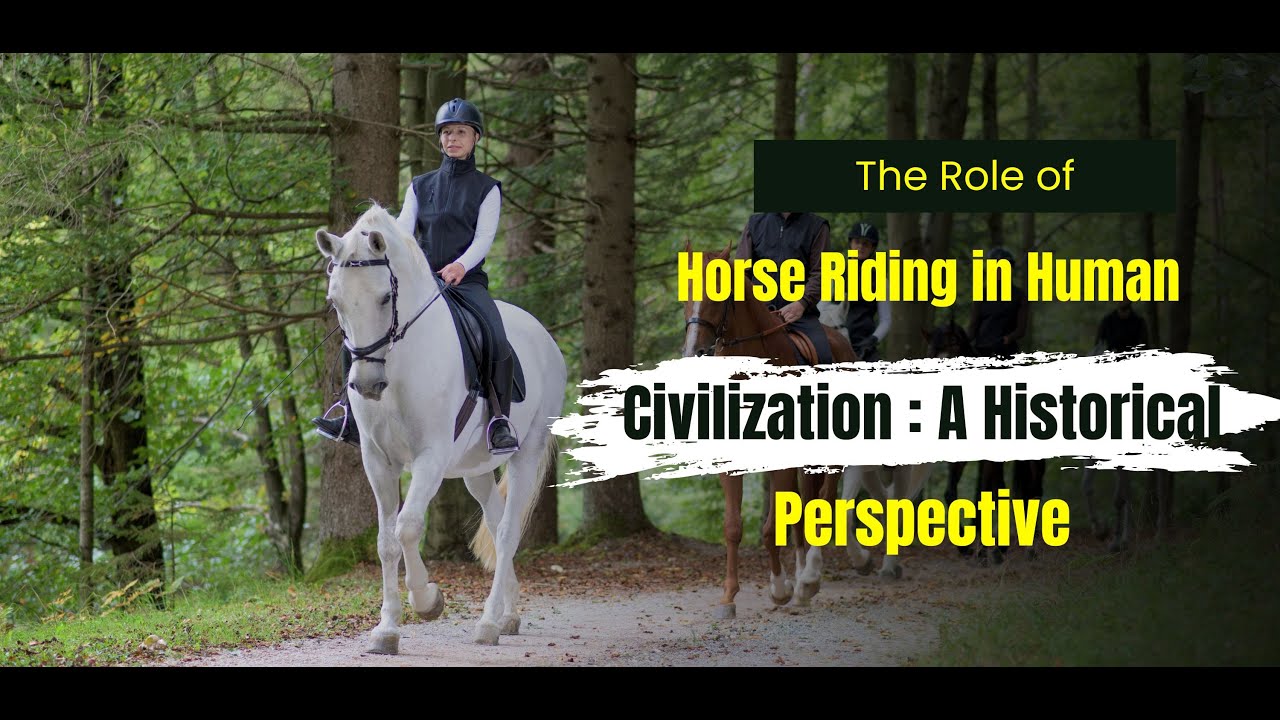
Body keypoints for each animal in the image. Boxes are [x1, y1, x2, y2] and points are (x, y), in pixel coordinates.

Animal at [315, 203, 567, 654]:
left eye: (385, 297)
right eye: (335, 300)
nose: (367, 385)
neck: (399, 364)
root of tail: (544, 337)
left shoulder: (429, 458)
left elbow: (408, 527)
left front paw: (428, 599)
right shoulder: (377, 460)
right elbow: (385, 541)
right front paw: (387, 630)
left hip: (527, 451)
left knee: (507, 531)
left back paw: (488, 623)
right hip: (475, 470)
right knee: (497, 521)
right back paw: (508, 615)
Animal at [681, 244, 856, 619]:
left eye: (719, 293)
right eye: (685, 292)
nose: (693, 352)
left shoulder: (780, 463)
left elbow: (771, 527)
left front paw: (780, 589)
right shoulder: (732, 462)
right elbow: (734, 527)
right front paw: (729, 597)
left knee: (823, 503)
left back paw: (809, 579)